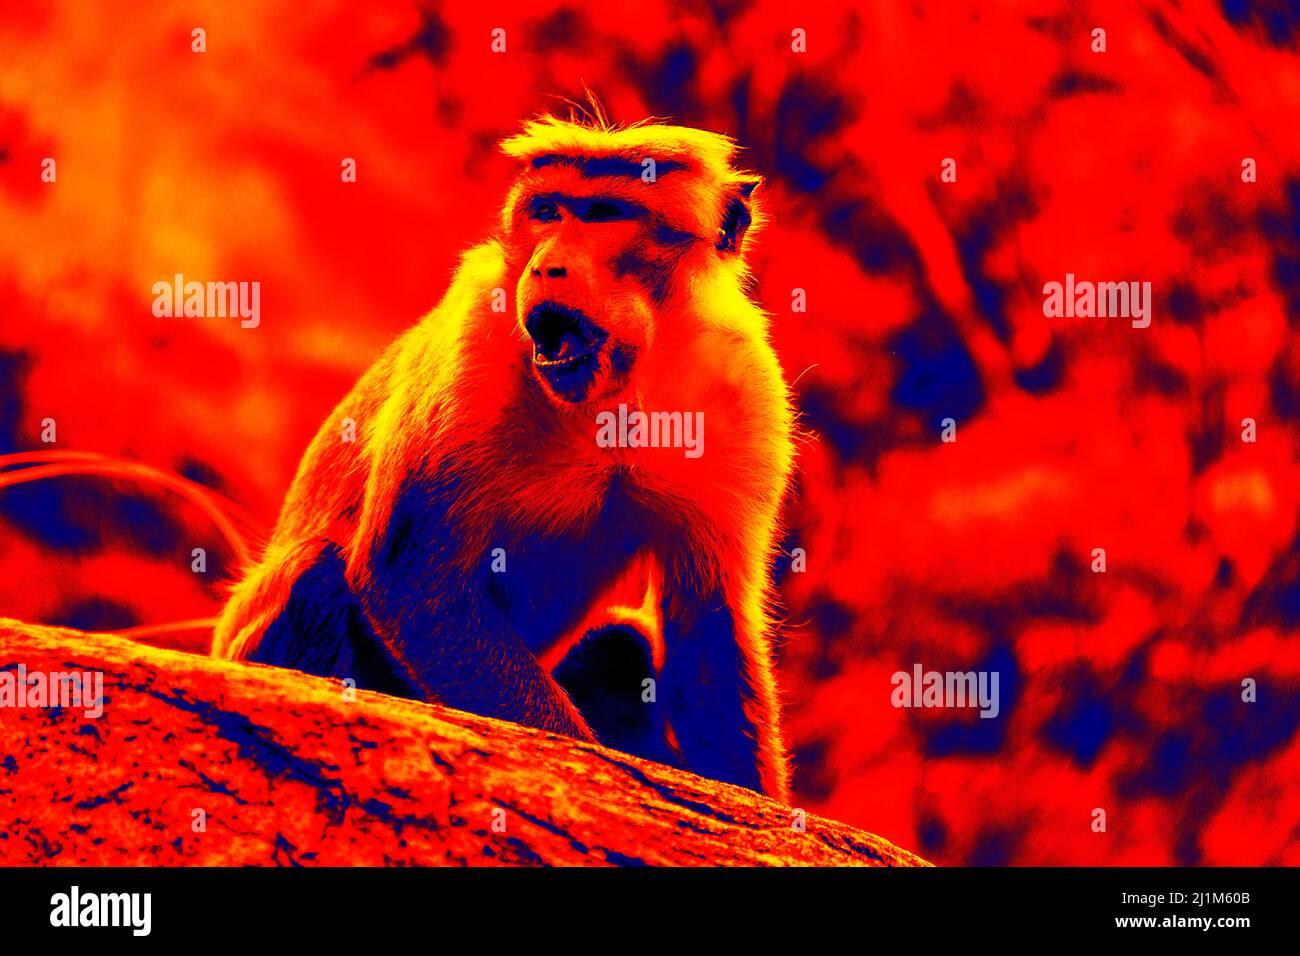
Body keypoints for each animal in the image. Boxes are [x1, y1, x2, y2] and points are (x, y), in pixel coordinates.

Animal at [211, 108, 796, 801]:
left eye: (604, 215)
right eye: (548, 212)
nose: (546, 267)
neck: (615, 390)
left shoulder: (741, 389)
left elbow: (707, 621)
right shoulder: (477, 335)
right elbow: (412, 576)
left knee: (620, 646)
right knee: (316, 572)